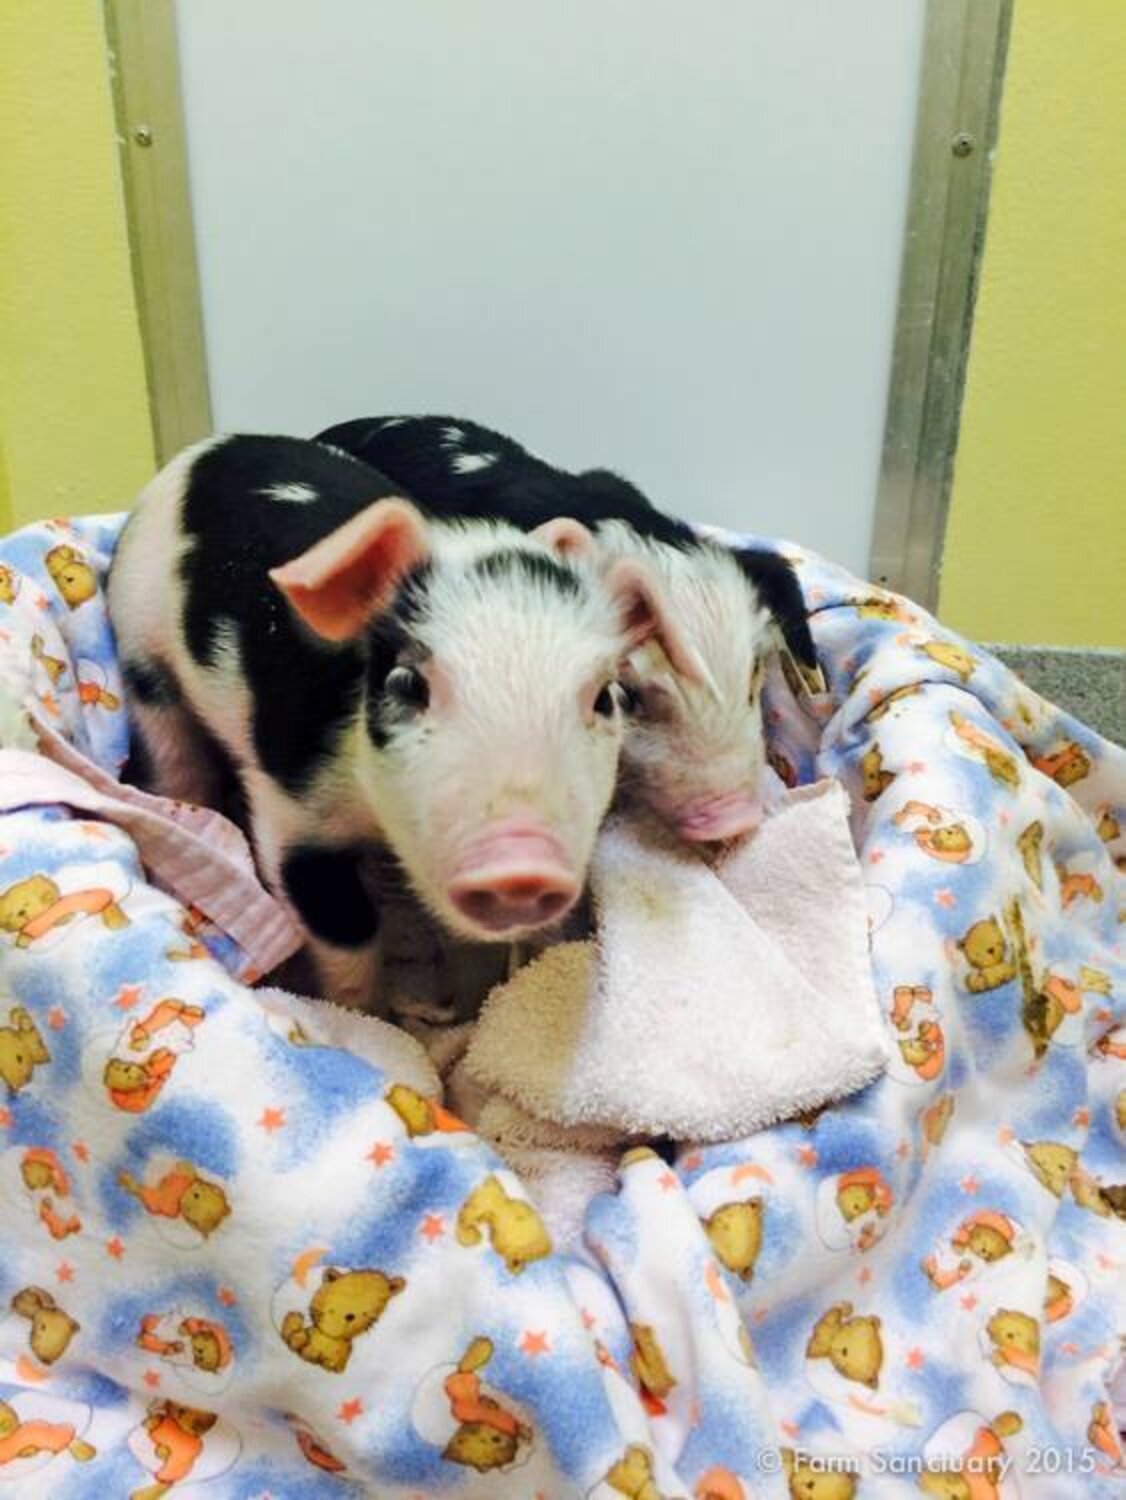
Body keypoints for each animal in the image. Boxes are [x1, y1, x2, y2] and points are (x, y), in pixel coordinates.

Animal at [107, 434, 694, 1008]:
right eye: (408, 684)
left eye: (604, 699)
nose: (522, 860)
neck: (374, 817)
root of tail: (199, 451)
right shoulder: (292, 811)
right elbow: (345, 930)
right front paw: (374, 1022)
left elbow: (470, 948)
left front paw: (468, 1009)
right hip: (141, 650)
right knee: (176, 763)